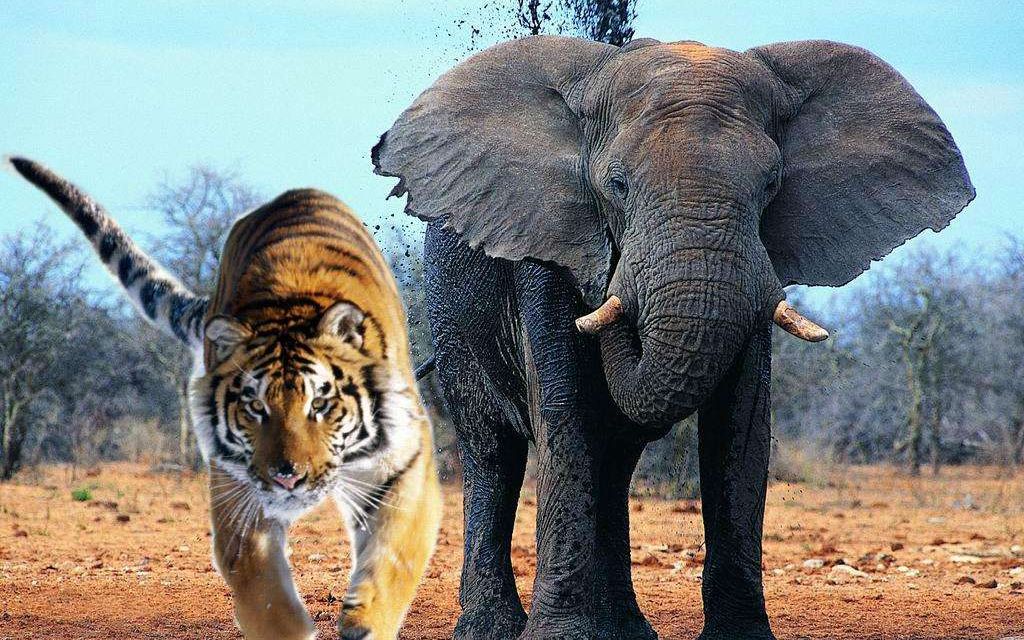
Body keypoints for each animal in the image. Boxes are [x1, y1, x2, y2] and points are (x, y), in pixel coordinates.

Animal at [8, 156, 442, 640]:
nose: (287, 478)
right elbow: (262, 591)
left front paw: (365, 621)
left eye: (320, 404)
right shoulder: (236, 490)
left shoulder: (405, 462)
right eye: (255, 407)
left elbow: (391, 560)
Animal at [372, 36, 973, 639]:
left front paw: (739, 637)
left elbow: (740, 424)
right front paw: (561, 636)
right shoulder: (543, 253)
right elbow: (565, 413)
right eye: (616, 186)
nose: (611, 274)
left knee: (614, 463)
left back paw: (628, 631)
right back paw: (492, 629)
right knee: (492, 453)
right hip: (452, 316)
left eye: (771, 186)